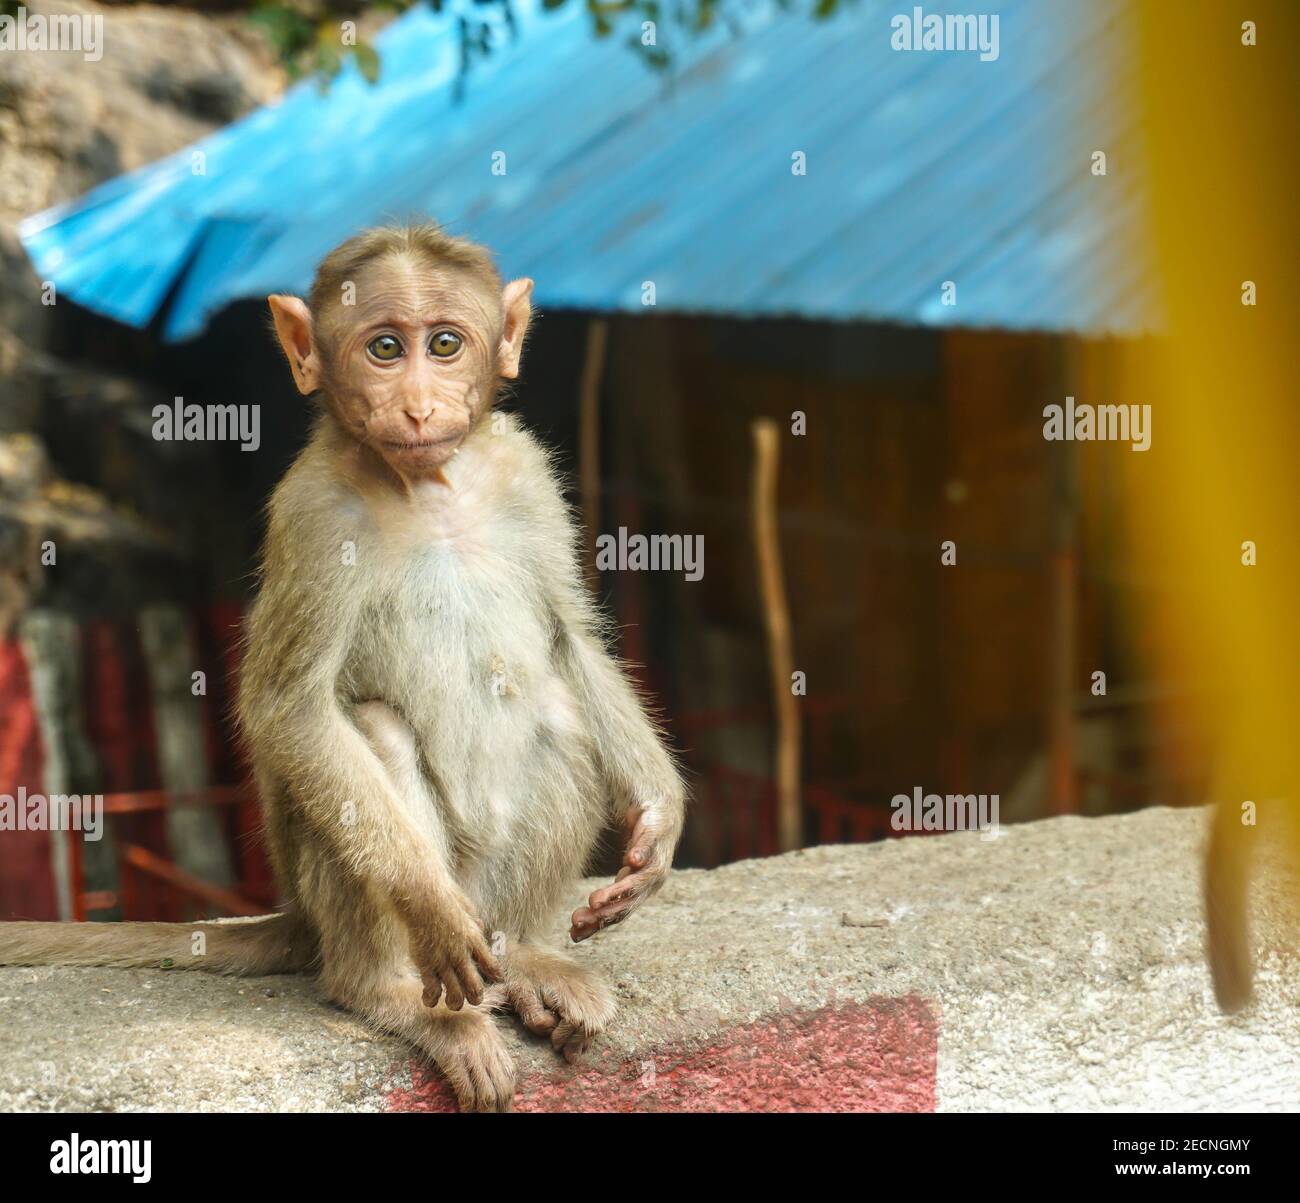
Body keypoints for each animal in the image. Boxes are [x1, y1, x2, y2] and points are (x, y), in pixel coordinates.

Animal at [0, 223, 687, 1112]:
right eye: (384, 348)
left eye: (445, 344)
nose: (420, 405)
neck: (427, 484)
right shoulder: (316, 516)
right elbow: (291, 708)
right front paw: (424, 906)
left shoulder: (525, 474)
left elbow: (571, 635)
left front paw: (658, 819)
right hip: (367, 899)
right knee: (376, 736)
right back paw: (399, 997)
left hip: (489, 900)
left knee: (557, 715)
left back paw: (530, 957)